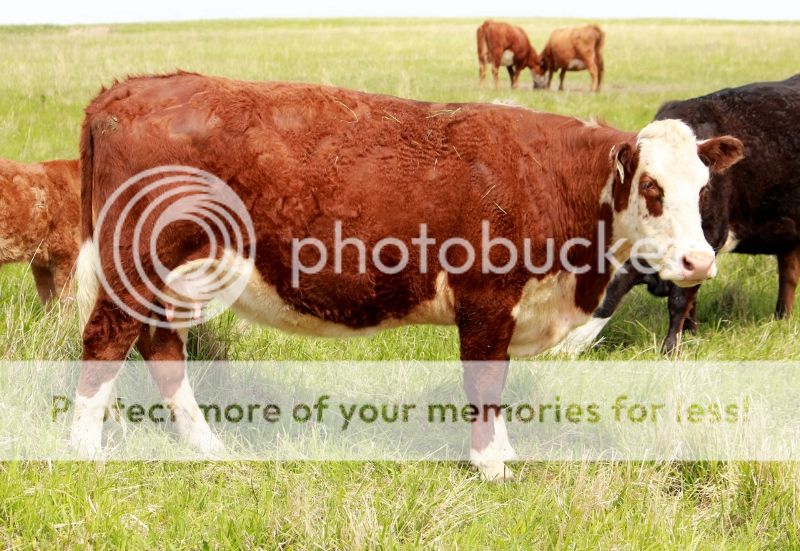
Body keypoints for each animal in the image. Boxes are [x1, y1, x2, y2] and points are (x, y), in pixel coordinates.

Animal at [70, 72, 741, 480]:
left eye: (703, 186)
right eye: (651, 187)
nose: (698, 261)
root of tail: (124, 91)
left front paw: (503, 453)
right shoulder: (487, 300)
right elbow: (485, 383)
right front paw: (491, 466)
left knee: (161, 345)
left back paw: (205, 445)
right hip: (136, 264)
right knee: (105, 341)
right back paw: (84, 451)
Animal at [560, 75, 800, 355]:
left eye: (704, 187)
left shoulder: (706, 246)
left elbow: (680, 301)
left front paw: (671, 349)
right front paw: (692, 334)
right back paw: (782, 318)